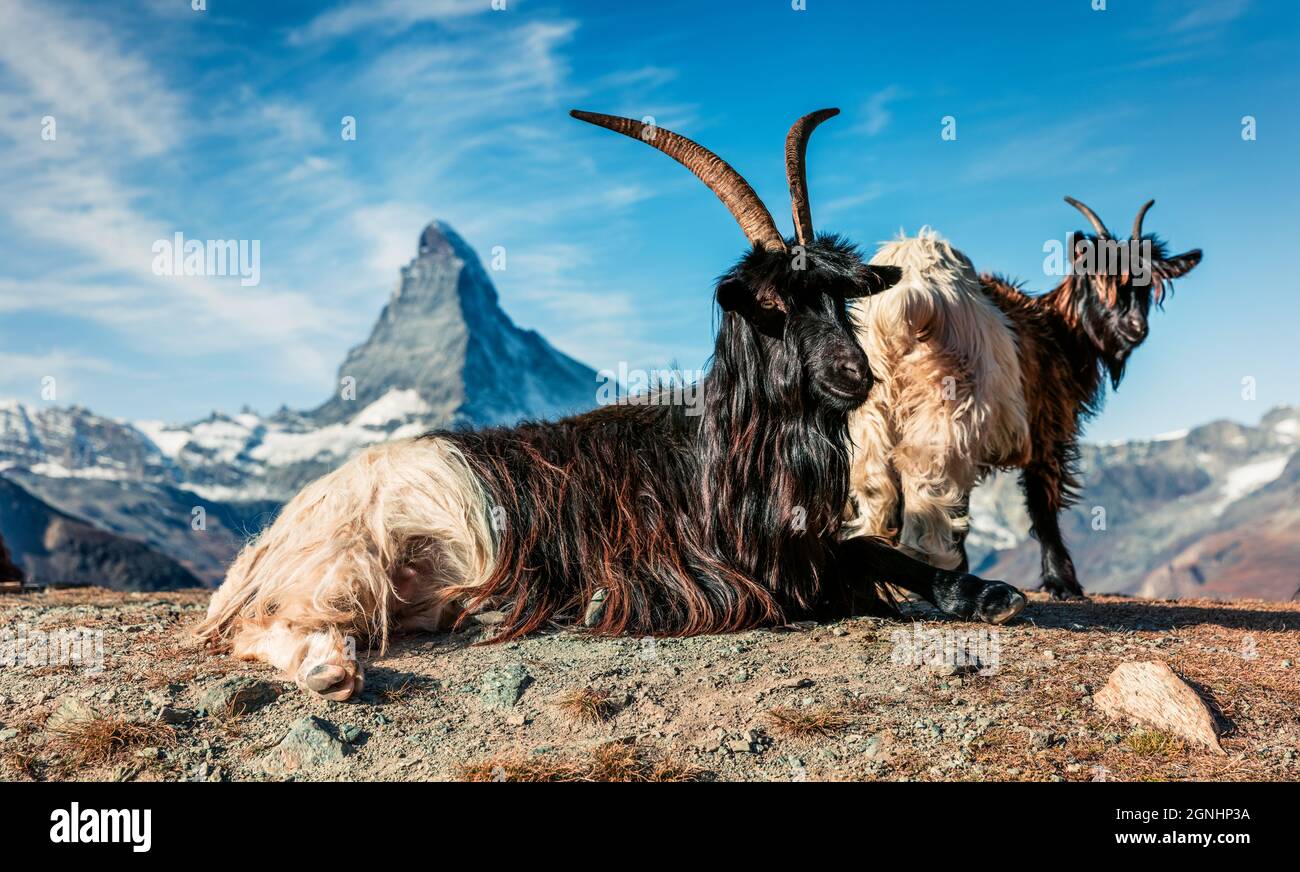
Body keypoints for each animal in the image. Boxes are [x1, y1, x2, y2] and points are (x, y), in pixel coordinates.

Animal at [196, 109, 1026, 700]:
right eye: (770, 306)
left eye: (840, 297)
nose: (854, 373)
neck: (720, 451)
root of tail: (271, 540)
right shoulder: (732, 568)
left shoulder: (800, 547)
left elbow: (873, 550)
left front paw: (987, 593)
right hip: (352, 553)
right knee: (263, 625)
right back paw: (329, 671)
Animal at [845, 199, 1201, 598]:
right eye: (1098, 279)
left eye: (1148, 286)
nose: (1135, 328)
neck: (1060, 332)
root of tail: (905, 300)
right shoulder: (1046, 426)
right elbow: (1042, 505)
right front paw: (1062, 582)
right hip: (949, 401)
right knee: (925, 476)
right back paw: (932, 561)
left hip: (871, 409)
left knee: (875, 482)